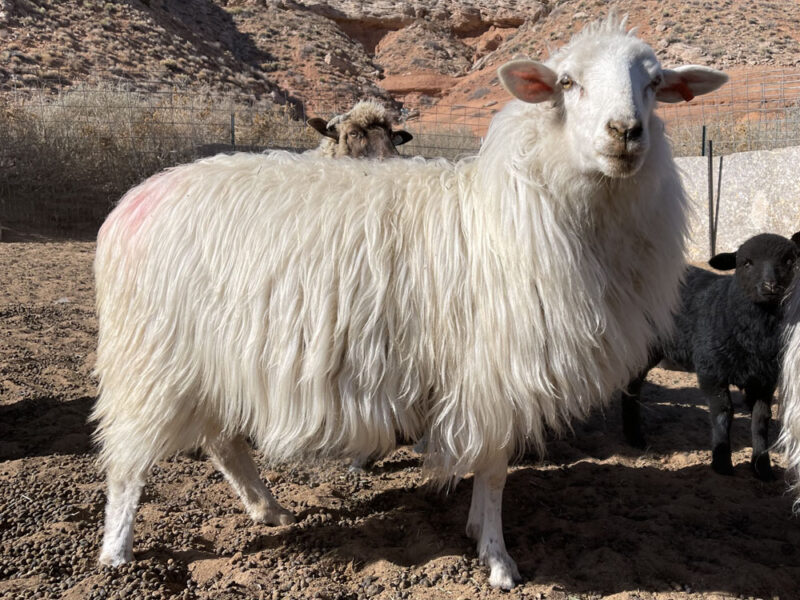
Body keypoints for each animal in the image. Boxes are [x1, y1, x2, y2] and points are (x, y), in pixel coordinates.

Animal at [92, 15, 727, 589]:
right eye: (567, 83)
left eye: (655, 83)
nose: (626, 132)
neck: (519, 205)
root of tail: (134, 199)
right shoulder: (494, 369)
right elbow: (494, 470)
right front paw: (498, 559)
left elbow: (487, 470)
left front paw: (477, 531)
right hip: (151, 355)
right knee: (128, 461)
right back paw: (117, 553)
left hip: (213, 356)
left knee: (223, 441)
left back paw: (268, 509)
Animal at [622, 232, 800, 480]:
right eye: (746, 262)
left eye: (789, 260)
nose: (771, 285)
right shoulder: (711, 369)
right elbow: (722, 414)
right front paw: (722, 463)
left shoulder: (765, 380)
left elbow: (761, 419)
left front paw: (762, 467)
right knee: (631, 385)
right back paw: (634, 437)